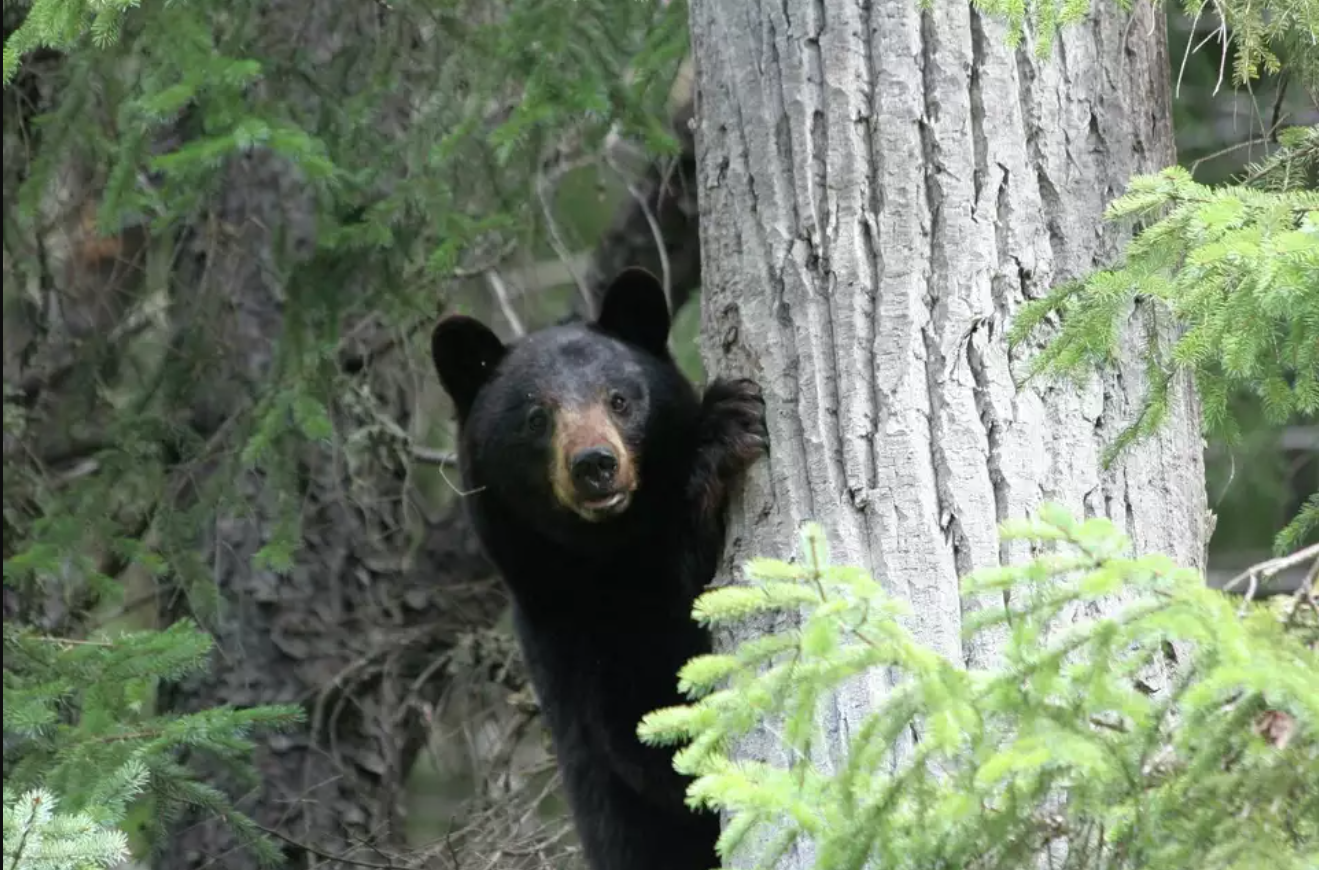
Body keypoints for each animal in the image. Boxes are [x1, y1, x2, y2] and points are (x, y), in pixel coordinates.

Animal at [429, 266, 768, 870]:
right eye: (536, 417)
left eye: (619, 399)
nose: (595, 465)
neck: (614, 554)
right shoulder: (570, 634)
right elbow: (656, 730)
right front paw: (723, 436)